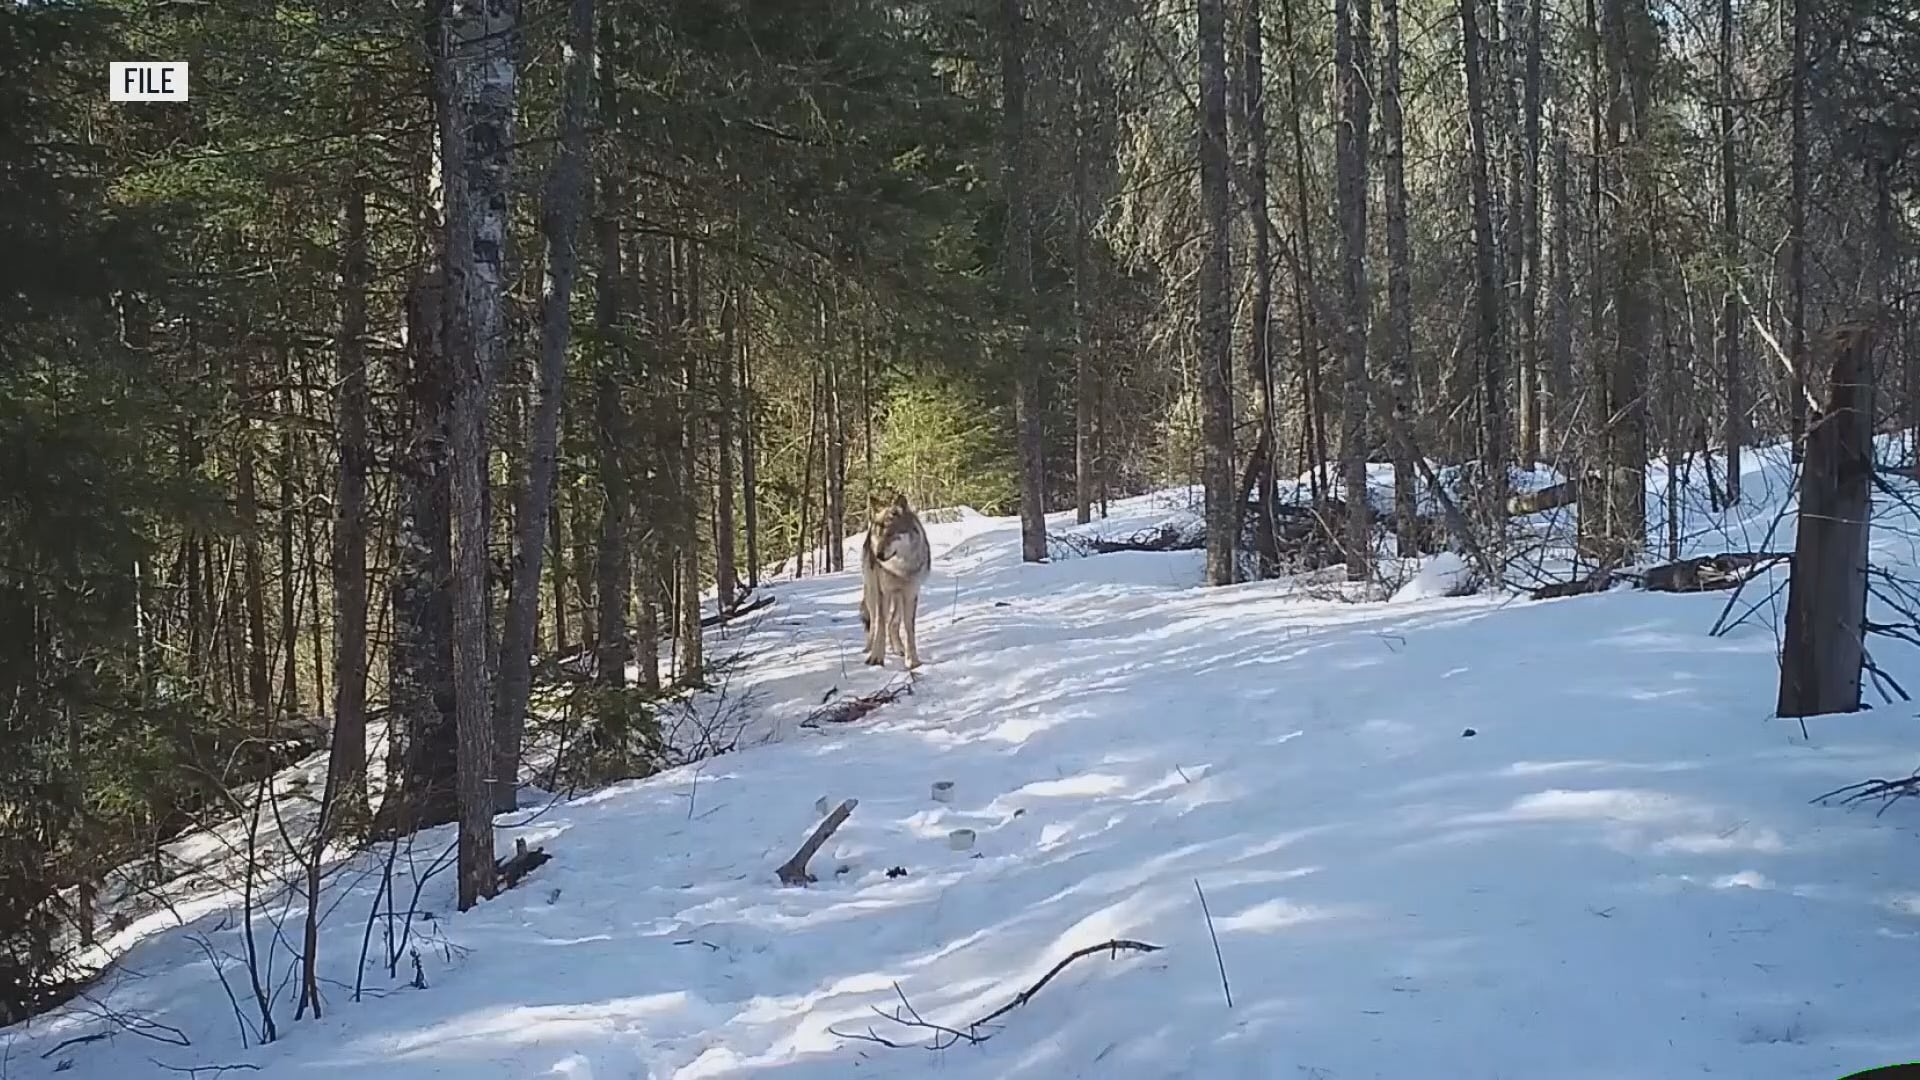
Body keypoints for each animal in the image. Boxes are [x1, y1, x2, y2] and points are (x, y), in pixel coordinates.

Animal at [859, 490, 932, 669]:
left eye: (891, 534)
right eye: (879, 534)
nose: (877, 555)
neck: (900, 568)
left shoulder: (911, 594)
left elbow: (909, 629)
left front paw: (912, 661)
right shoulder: (883, 592)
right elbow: (880, 625)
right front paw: (876, 658)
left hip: (899, 597)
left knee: (893, 623)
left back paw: (899, 648)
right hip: (872, 592)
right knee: (875, 623)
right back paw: (868, 648)